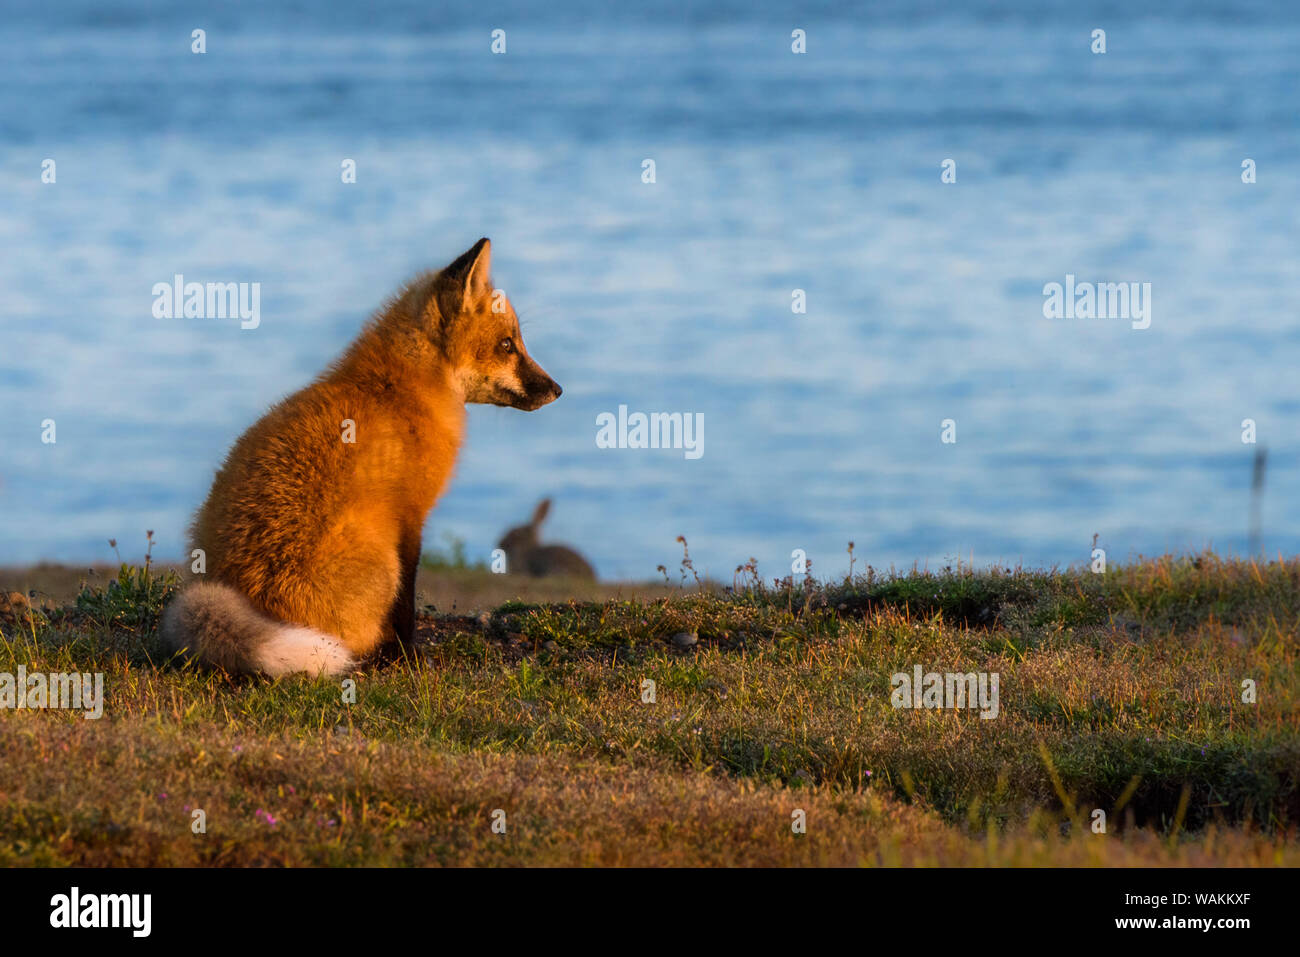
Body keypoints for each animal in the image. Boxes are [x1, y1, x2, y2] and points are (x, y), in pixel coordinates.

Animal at [160, 238, 561, 676]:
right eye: (507, 345)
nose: (557, 390)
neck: (402, 392)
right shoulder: (409, 518)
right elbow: (406, 606)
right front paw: (407, 654)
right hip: (381, 563)